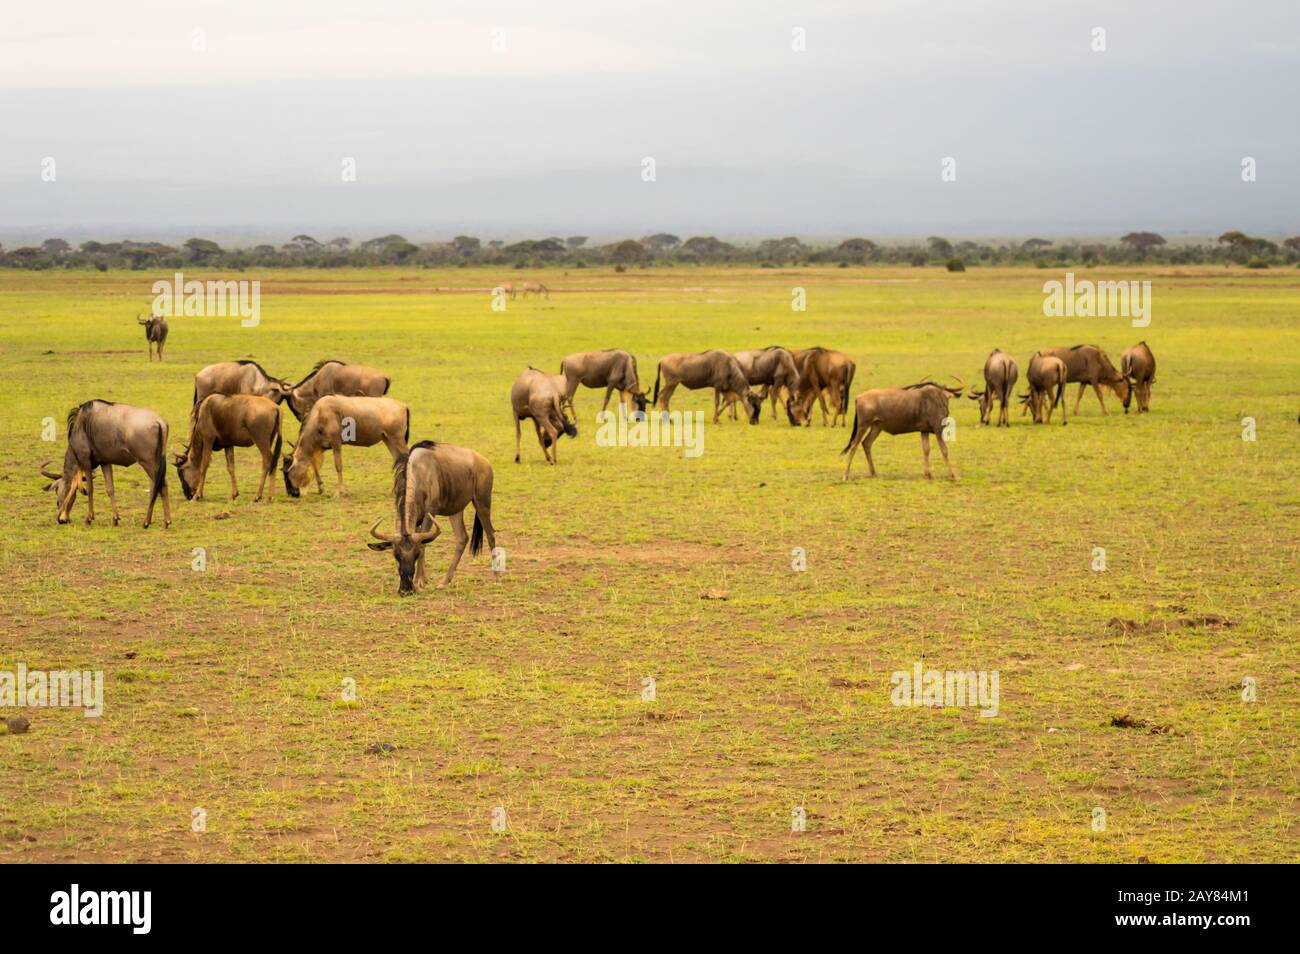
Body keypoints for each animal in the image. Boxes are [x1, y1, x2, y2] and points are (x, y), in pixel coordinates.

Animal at [42, 400, 172, 527]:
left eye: (57, 493)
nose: (61, 520)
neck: (80, 426)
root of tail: (159, 422)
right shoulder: (105, 462)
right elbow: (110, 489)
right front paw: (115, 519)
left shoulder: (86, 462)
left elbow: (90, 488)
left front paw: (89, 518)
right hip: (155, 463)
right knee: (155, 487)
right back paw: (152, 521)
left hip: (147, 463)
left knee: (162, 485)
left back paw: (158, 521)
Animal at [367, 440, 498, 594]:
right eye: (396, 555)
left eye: (416, 554)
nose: (406, 590)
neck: (419, 472)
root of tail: (484, 462)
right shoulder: (417, 519)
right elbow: (423, 540)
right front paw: (424, 580)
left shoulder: (431, 512)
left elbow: (424, 544)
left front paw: (418, 582)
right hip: (455, 510)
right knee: (462, 538)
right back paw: (444, 581)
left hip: (482, 502)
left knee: (490, 534)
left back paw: (497, 578)